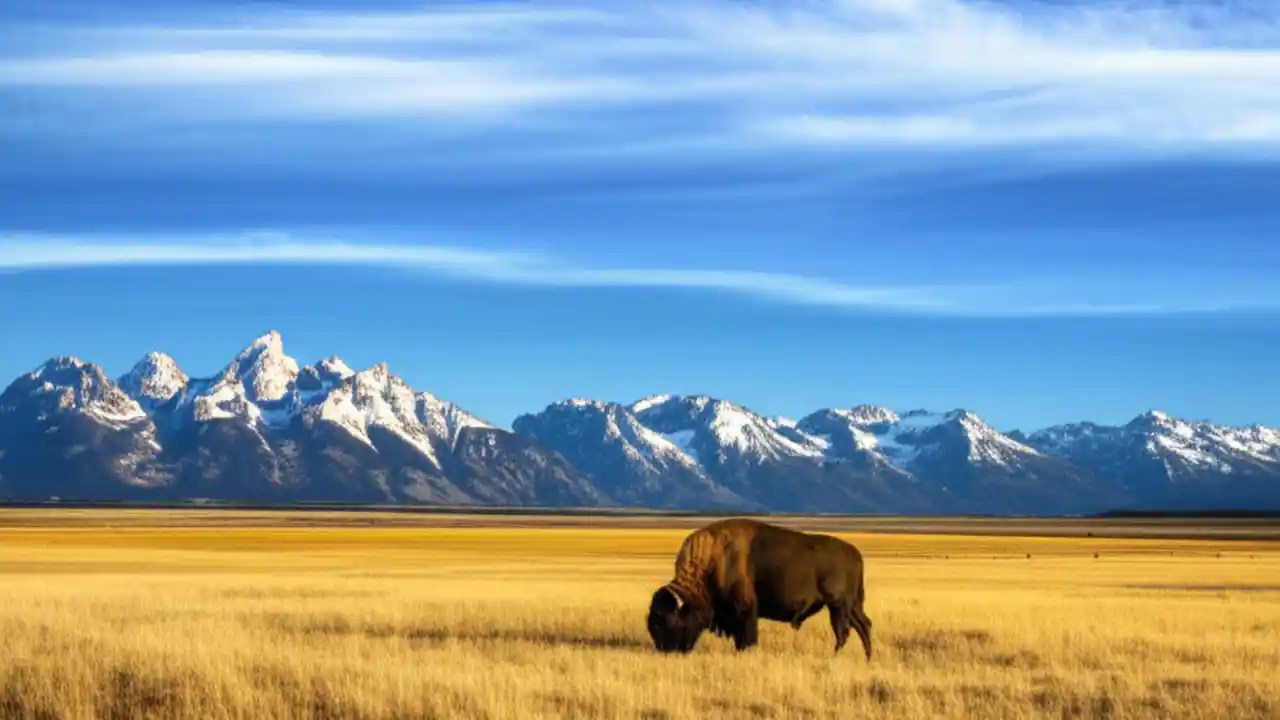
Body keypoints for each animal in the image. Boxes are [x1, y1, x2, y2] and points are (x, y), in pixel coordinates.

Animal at [646, 518, 872, 659]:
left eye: (666, 620)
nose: (665, 650)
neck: (712, 562)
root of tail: (856, 554)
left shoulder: (745, 610)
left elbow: (747, 637)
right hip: (850, 606)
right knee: (863, 626)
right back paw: (866, 658)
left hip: (839, 606)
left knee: (844, 632)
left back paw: (836, 656)